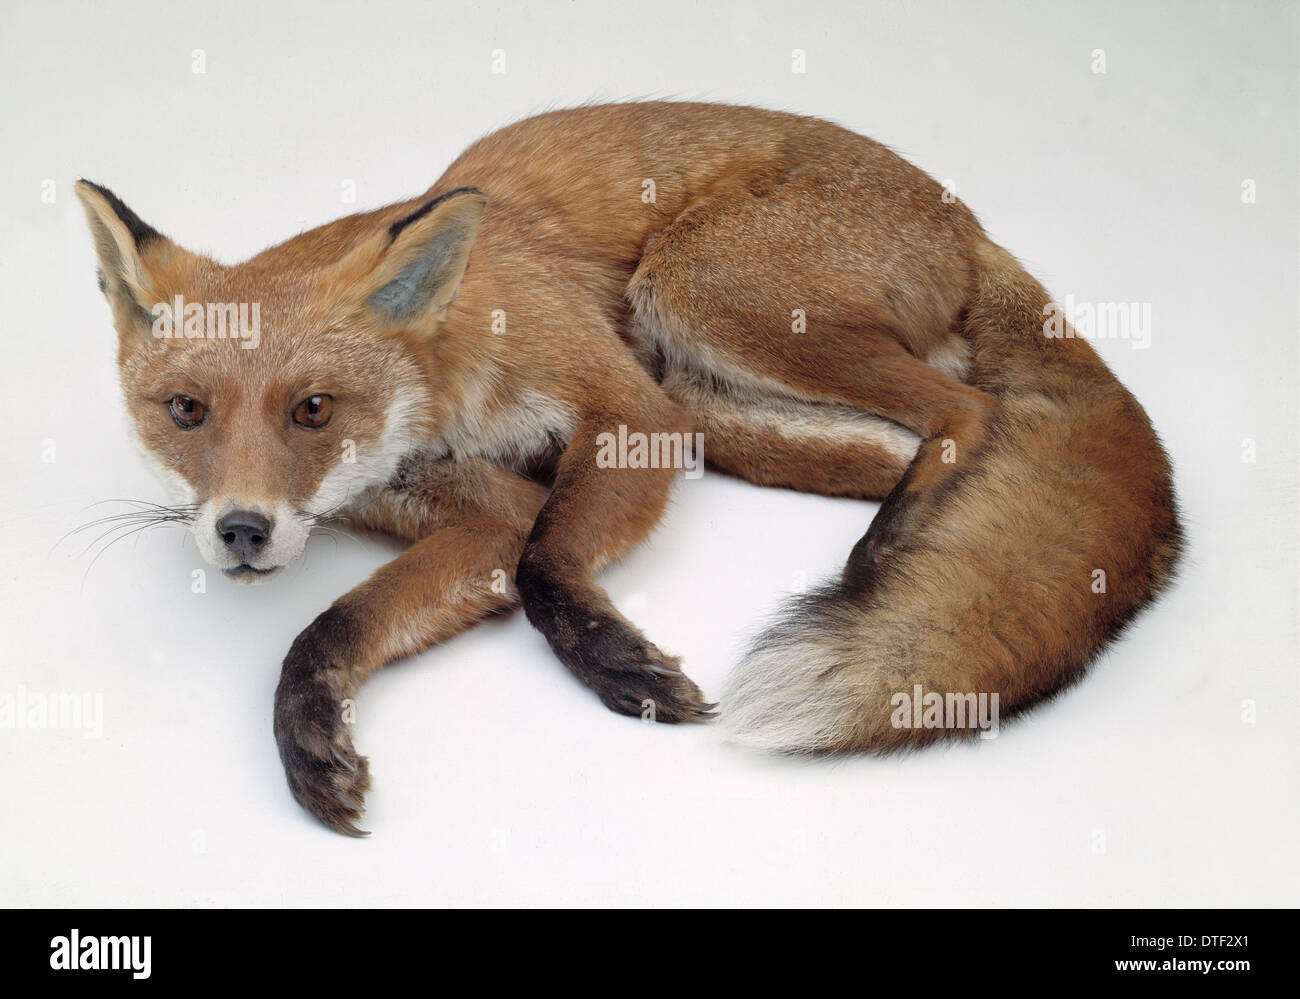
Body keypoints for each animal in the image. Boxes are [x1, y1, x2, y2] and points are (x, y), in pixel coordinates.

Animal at [76, 101, 1182, 836]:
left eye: (313, 410)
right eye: (186, 413)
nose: (243, 530)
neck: (445, 382)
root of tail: (969, 224)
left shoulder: (623, 409)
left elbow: (546, 563)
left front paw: (619, 665)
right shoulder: (475, 508)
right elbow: (338, 623)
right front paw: (309, 734)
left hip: (696, 291)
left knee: (969, 408)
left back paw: (885, 554)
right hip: (712, 405)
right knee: (925, 442)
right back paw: (905, 538)